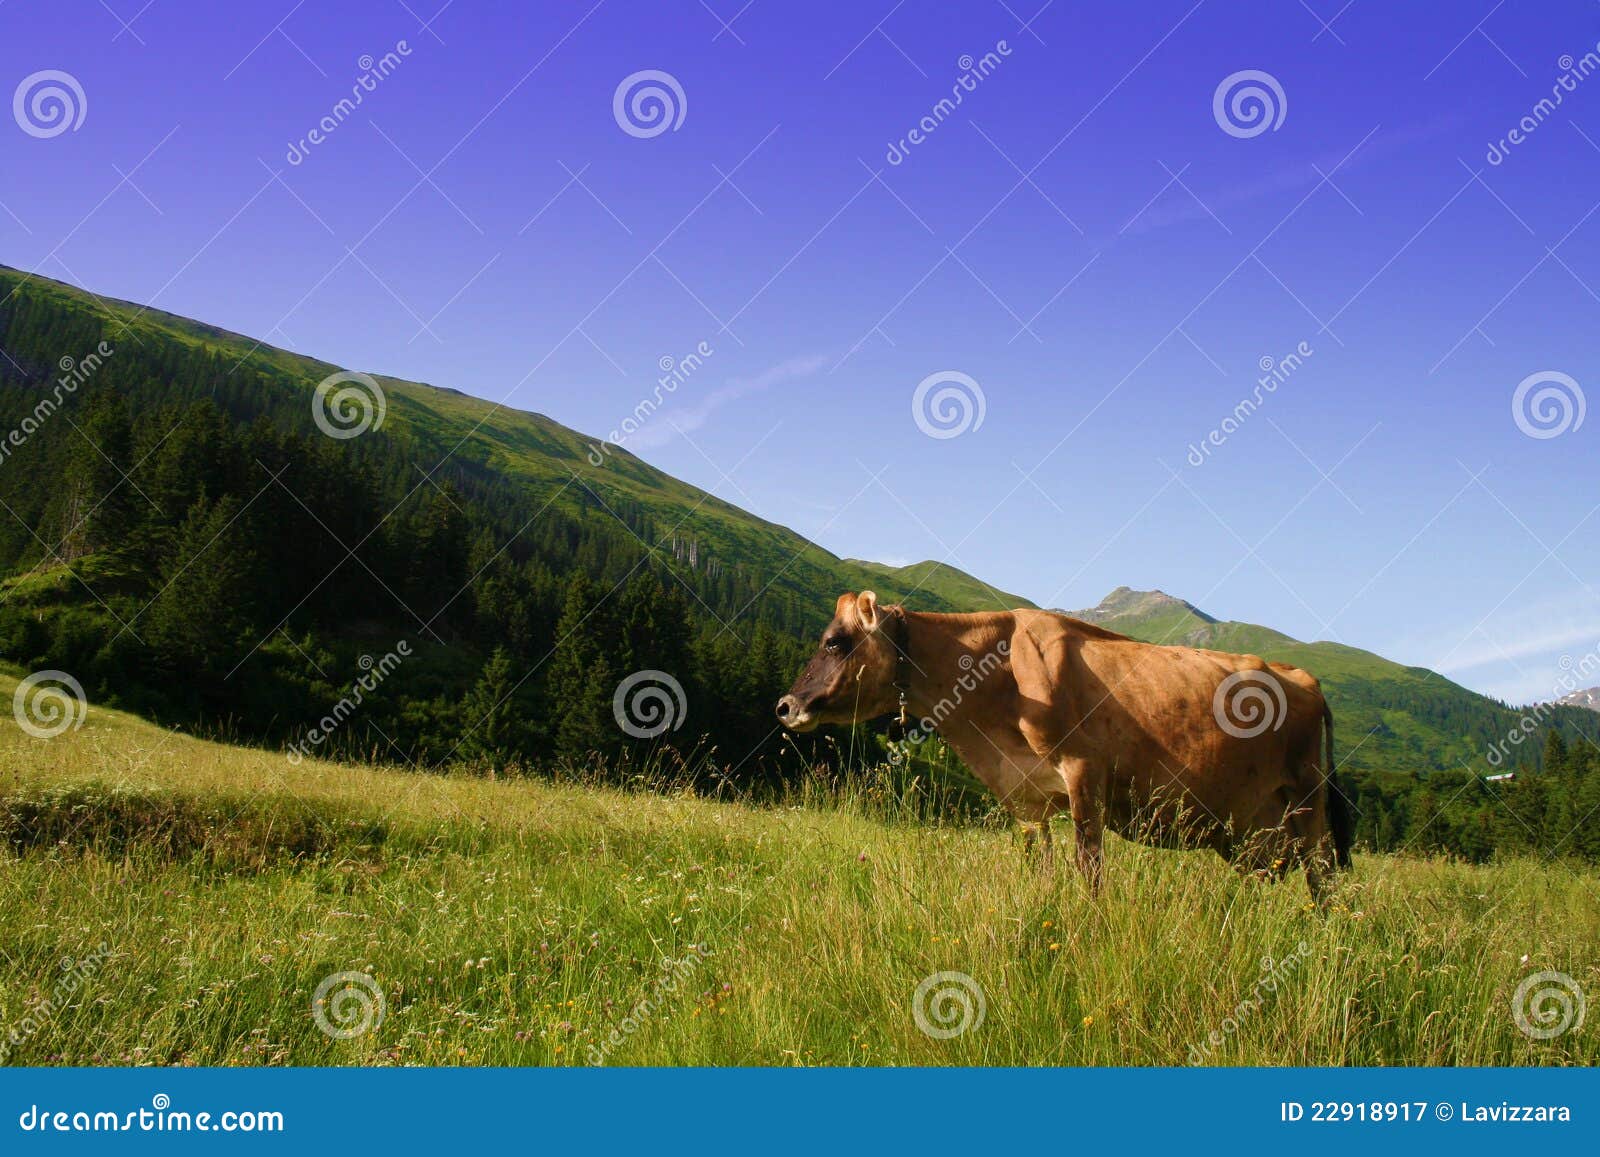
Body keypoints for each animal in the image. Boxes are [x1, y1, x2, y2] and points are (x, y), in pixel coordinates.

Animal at [775, 592, 1352, 901]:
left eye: (835, 642)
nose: (784, 705)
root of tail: (1302, 676)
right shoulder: (1026, 797)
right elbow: (1042, 867)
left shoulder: (1083, 773)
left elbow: (1089, 869)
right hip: (1259, 827)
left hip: (1310, 803)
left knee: (1322, 881)